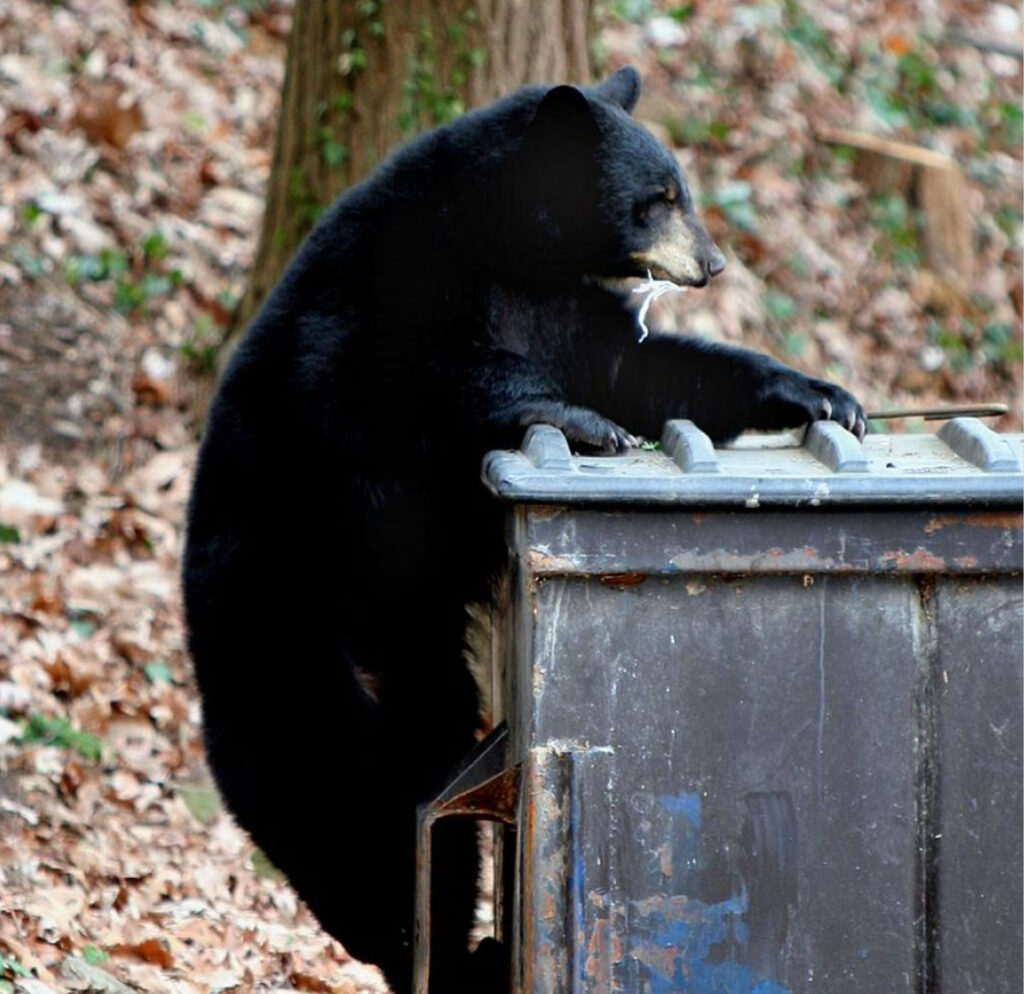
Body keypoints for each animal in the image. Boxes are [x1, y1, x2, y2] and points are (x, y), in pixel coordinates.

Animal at [183, 66, 864, 994]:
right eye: (660, 197)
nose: (714, 263)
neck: (504, 242)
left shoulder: (566, 310)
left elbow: (647, 370)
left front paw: (819, 393)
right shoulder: (376, 292)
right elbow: (402, 382)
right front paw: (577, 422)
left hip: (421, 675)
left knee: (433, 803)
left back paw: (464, 946)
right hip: (283, 636)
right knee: (338, 810)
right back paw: (420, 949)